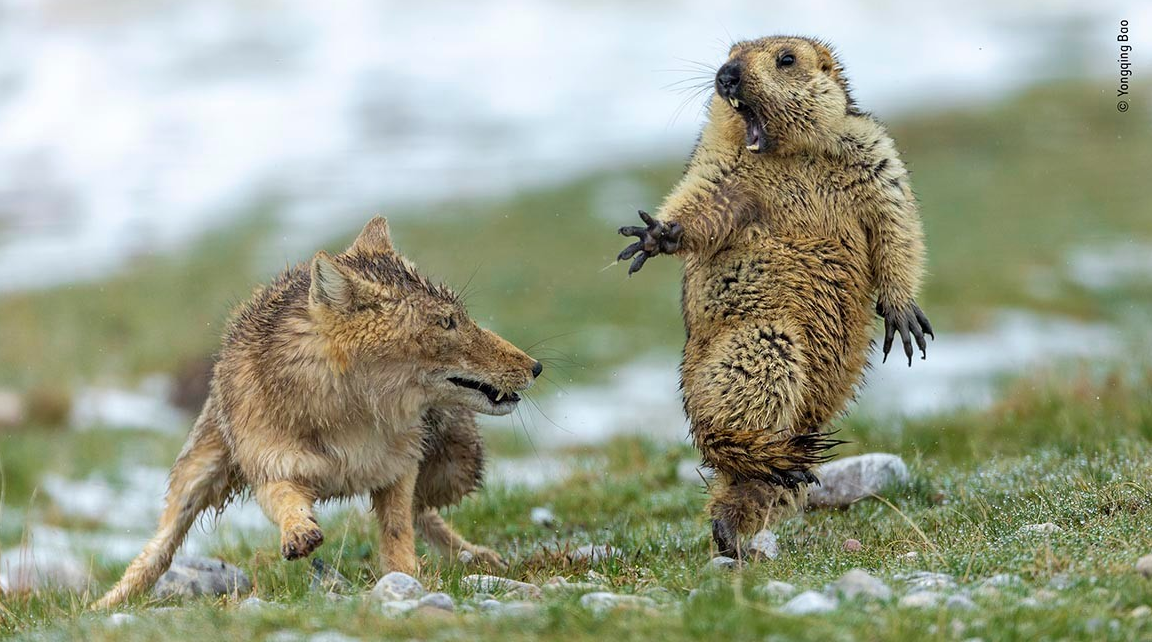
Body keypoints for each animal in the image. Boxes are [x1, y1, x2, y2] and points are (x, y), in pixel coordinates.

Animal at [94, 216, 542, 609]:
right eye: (447, 323)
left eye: (460, 318)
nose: (536, 366)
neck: (349, 419)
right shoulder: (272, 468)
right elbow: (286, 502)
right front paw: (298, 533)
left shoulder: (398, 469)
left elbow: (398, 532)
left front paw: (407, 579)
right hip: (196, 476)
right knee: (158, 550)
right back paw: (103, 604)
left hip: (456, 468)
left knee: (425, 512)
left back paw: (477, 555)